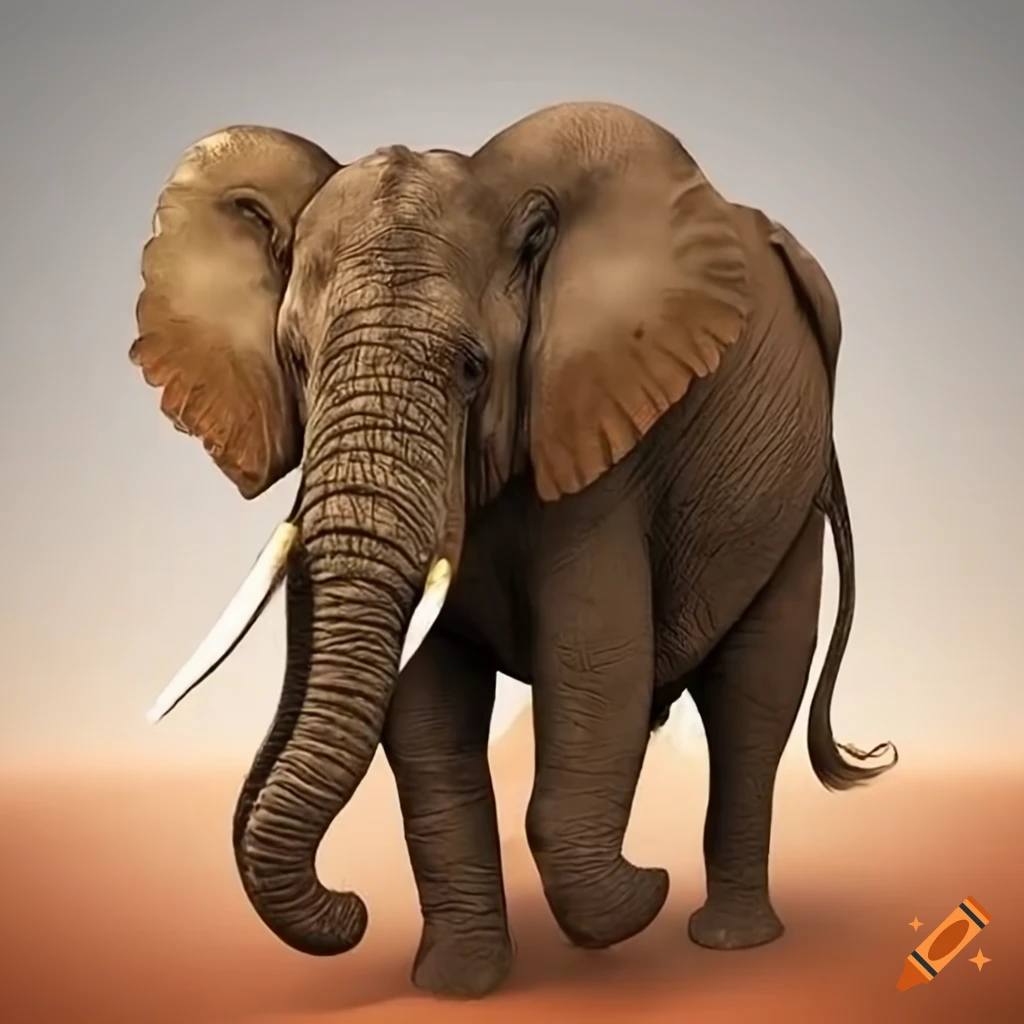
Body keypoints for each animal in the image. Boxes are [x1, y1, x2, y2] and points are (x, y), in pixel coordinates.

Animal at [130, 101, 897, 1000]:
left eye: (472, 368)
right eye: (295, 362)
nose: (353, 910)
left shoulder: (599, 432)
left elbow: (593, 663)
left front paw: (642, 898)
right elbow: (427, 713)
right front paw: (457, 988)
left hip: (786, 489)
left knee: (753, 700)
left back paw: (729, 943)